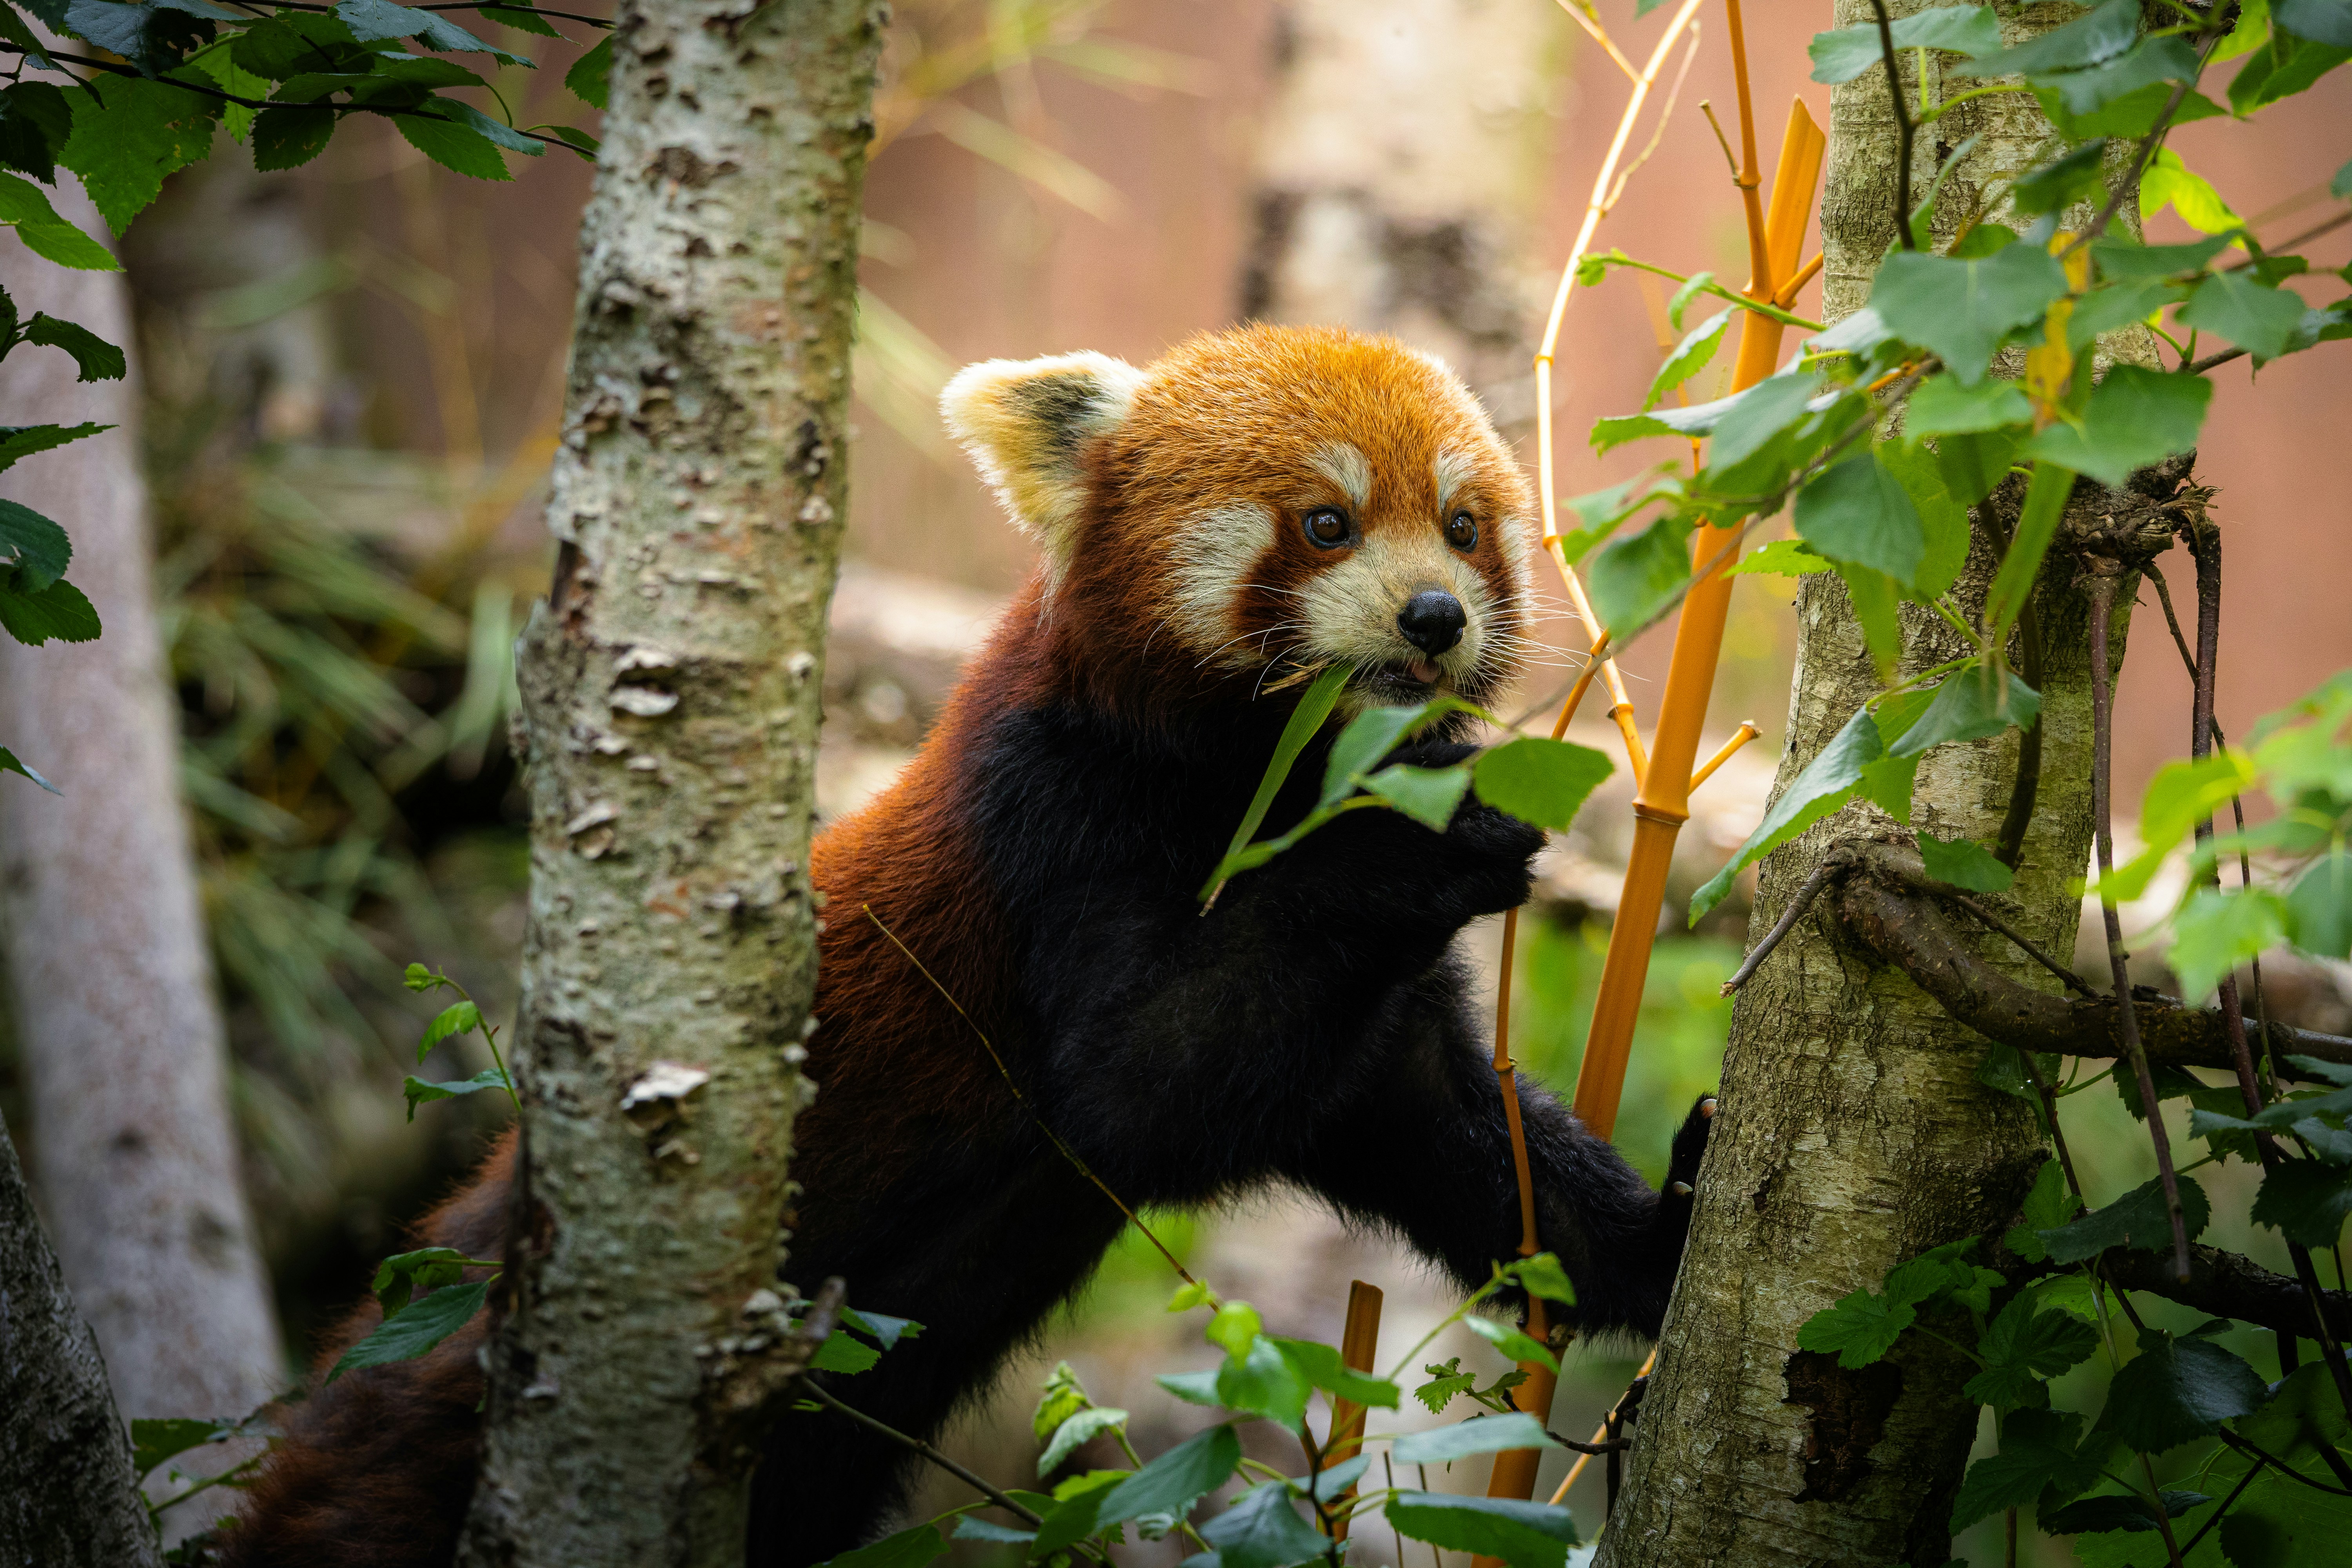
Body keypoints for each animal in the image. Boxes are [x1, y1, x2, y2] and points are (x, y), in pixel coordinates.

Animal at [223, 324, 1713, 1568]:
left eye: (1462, 527)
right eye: (1327, 523)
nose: (1434, 618)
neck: (1262, 778)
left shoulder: (1370, 1034)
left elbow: (1465, 1153)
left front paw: (1665, 1229)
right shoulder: (1053, 822)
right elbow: (1144, 1077)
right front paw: (1437, 827)